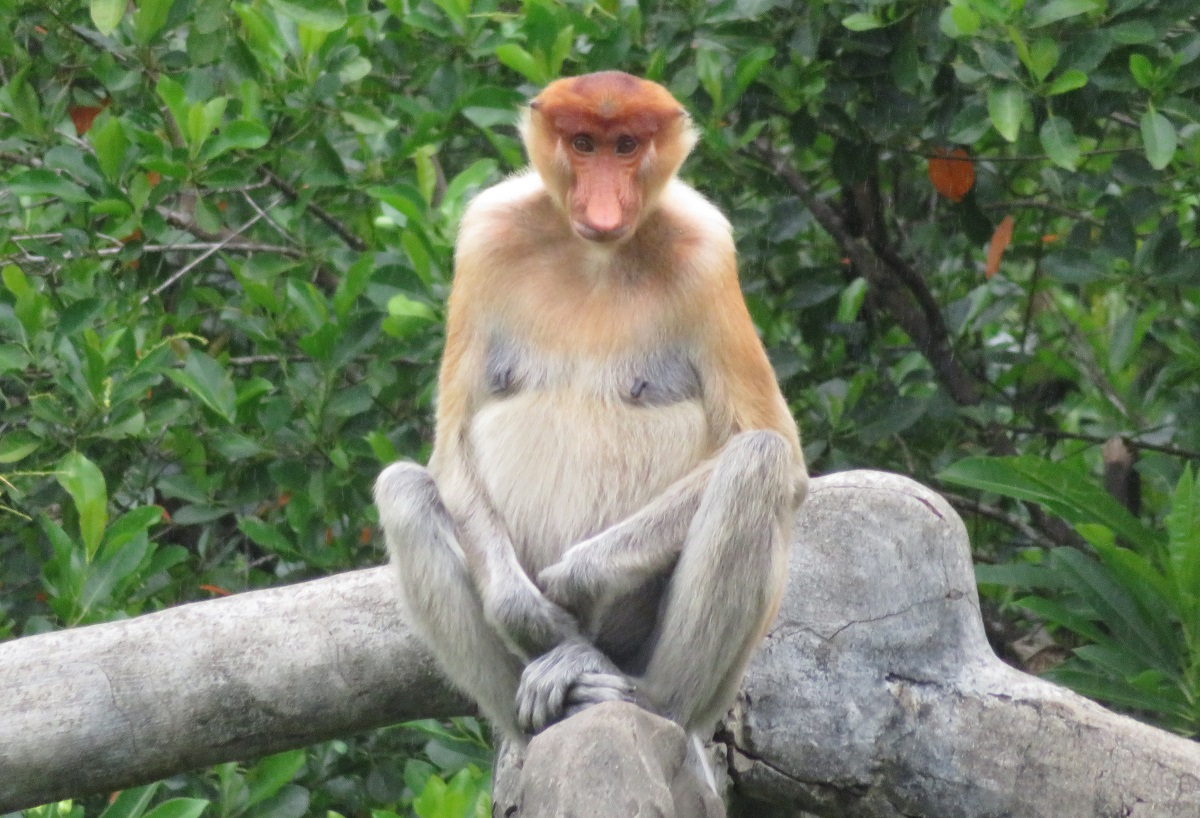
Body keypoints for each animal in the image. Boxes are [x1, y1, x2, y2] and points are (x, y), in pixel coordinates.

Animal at [374, 71, 807, 748]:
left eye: (626, 146)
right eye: (583, 144)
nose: (603, 205)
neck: (594, 256)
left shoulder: (709, 255)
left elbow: (775, 442)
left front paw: (573, 585)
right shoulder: (484, 237)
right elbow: (451, 445)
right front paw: (529, 614)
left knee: (757, 463)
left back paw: (636, 693)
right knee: (403, 489)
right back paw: (544, 708)